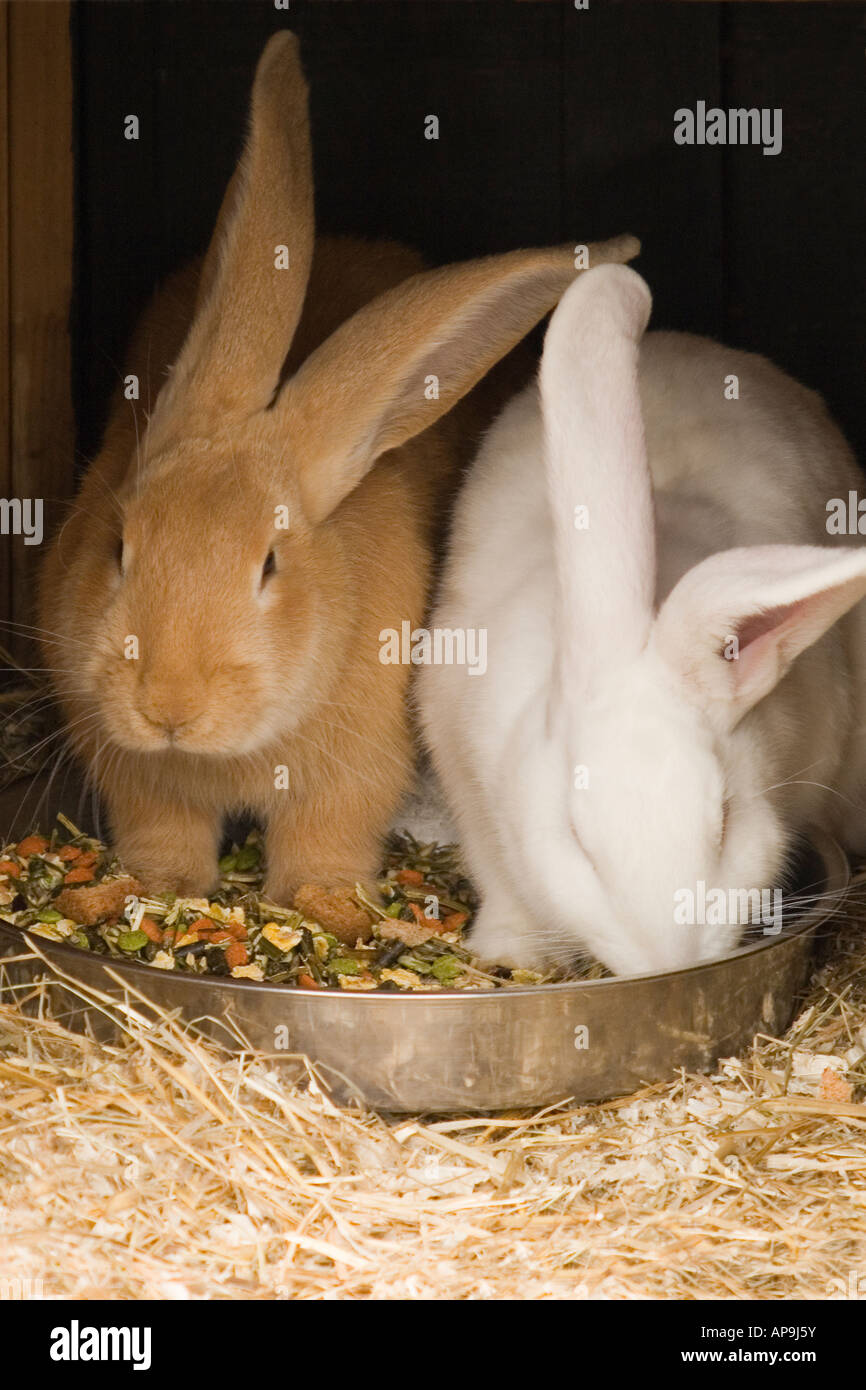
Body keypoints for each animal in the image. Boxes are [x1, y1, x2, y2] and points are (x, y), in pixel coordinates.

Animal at [37, 31, 639, 906]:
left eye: (270, 565)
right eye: (119, 549)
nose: (168, 707)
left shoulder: (355, 770)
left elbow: (327, 845)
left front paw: (327, 910)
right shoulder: (136, 774)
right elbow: (163, 837)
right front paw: (149, 889)